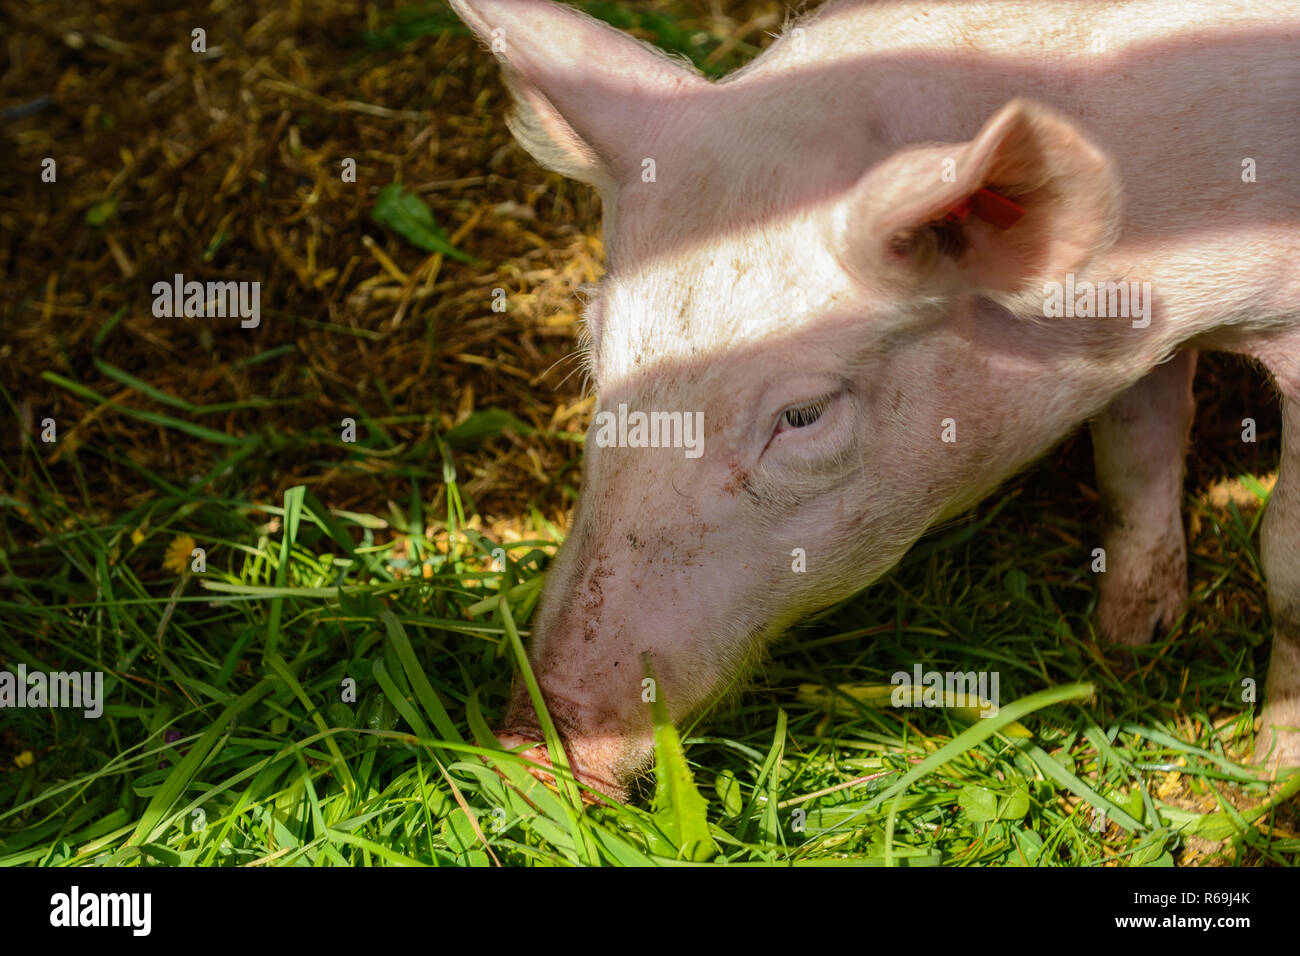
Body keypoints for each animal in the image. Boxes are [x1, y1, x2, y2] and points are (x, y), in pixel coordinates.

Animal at [449, 0, 1300, 801]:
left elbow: (1283, 556)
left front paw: (1271, 773)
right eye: (598, 346)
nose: (531, 750)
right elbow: (1136, 444)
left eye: (804, 414)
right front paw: (1128, 637)